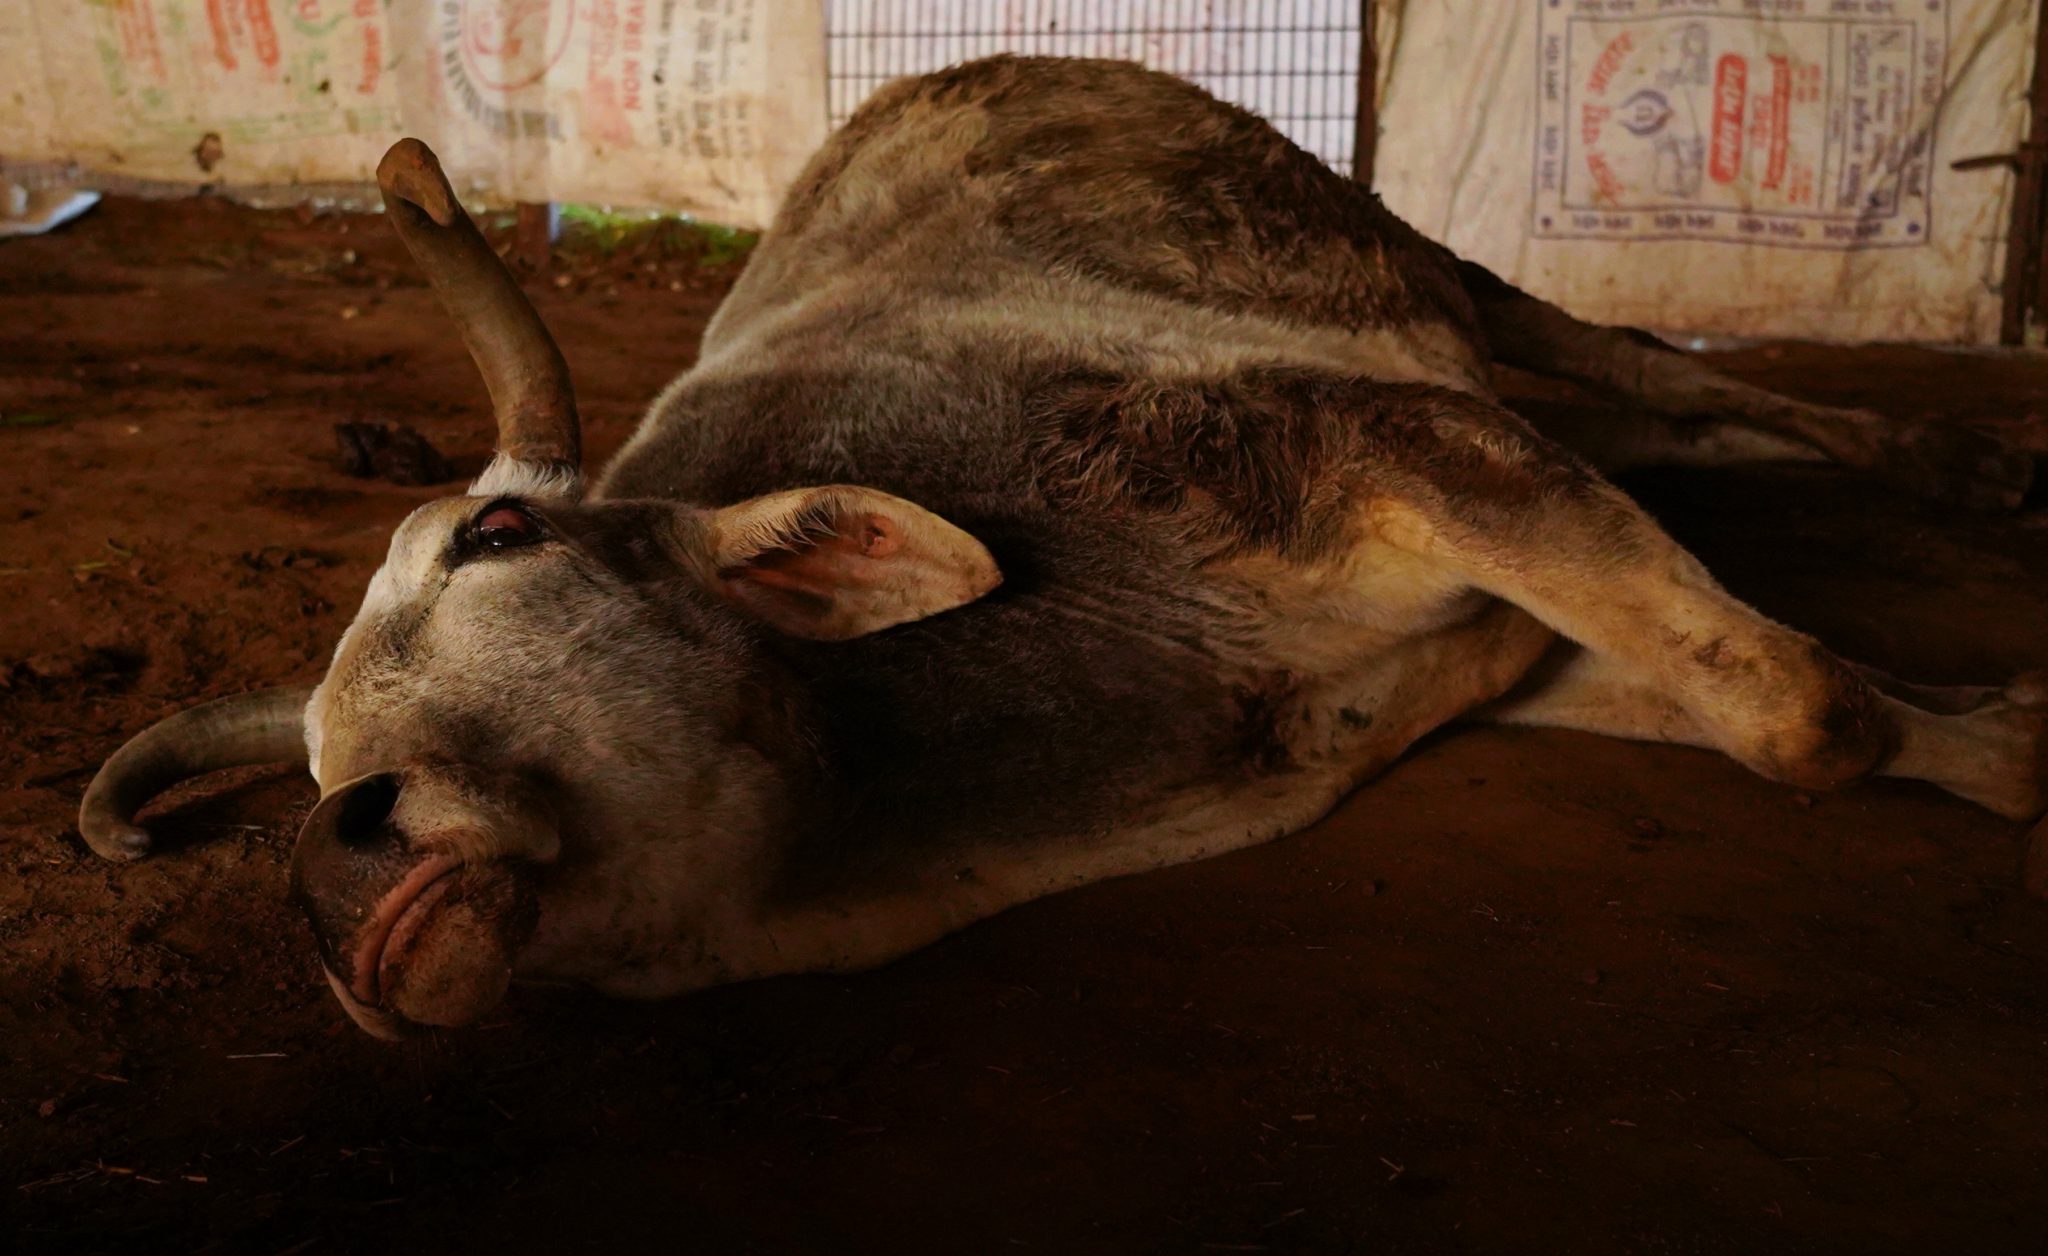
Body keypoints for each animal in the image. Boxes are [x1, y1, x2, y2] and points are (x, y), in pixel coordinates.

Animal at [79, 58, 2046, 1039]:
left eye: (492, 533)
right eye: (304, 760)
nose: (331, 862)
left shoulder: (1396, 440)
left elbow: (1804, 717)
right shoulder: (1503, 636)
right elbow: (1820, 702)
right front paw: (2005, 728)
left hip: (1440, 273)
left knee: (1671, 372)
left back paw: (1957, 456)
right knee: (1684, 434)